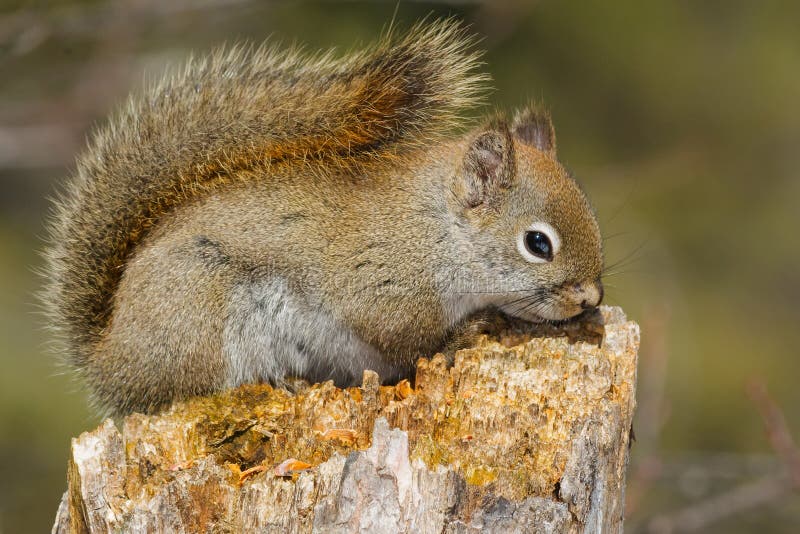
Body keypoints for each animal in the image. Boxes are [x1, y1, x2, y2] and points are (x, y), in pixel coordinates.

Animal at [43, 19, 604, 415]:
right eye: (537, 243)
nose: (591, 299)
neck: (438, 229)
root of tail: (109, 361)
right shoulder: (382, 287)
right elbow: (409, 338)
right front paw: (467, 333)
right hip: (202, 317)